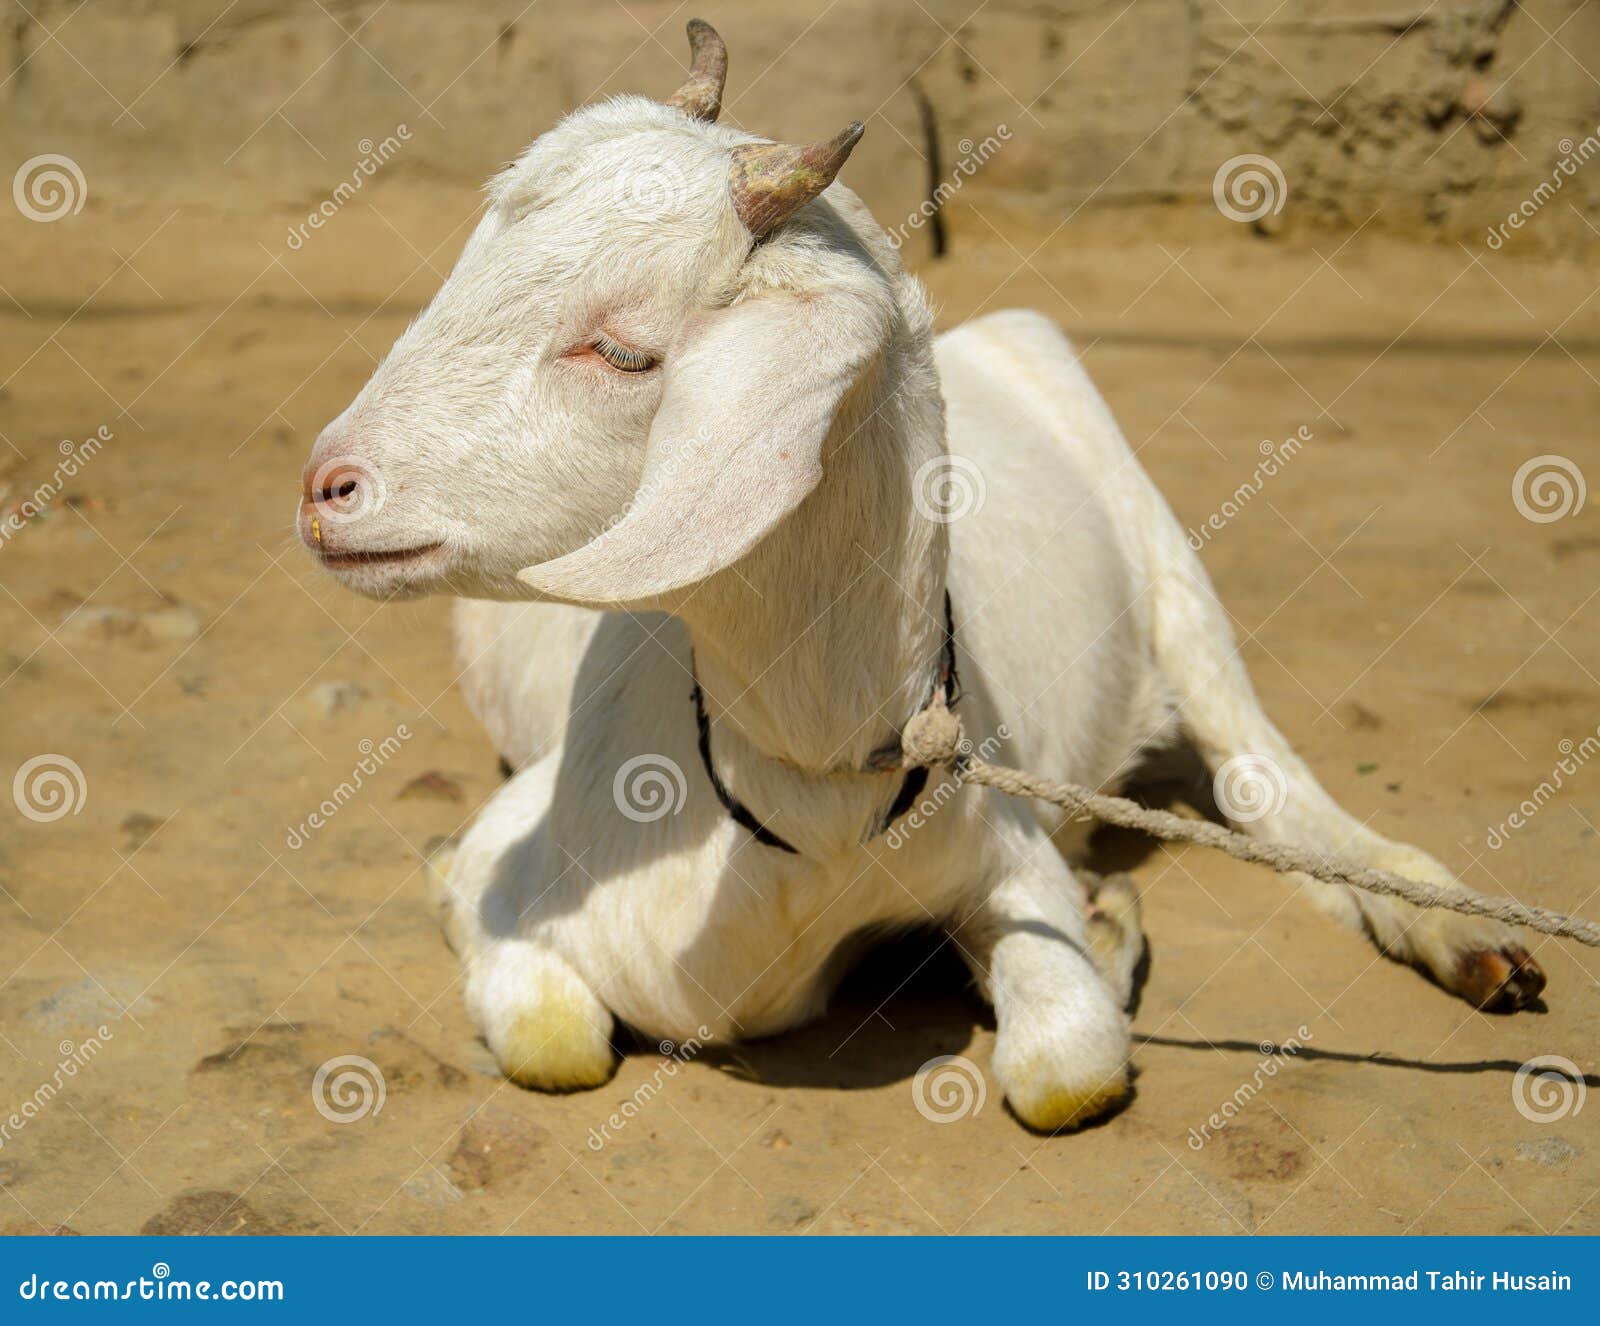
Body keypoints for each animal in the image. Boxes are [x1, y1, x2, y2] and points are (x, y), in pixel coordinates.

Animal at [297, 21, 1545, 1131]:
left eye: (620, 351)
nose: (327, 486)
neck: (804, 803)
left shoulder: (1005, 849)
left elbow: (1067, 1069)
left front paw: (1101, 932)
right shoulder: (507, 863)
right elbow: (554, 1044)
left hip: (1168, 566)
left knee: (1266, 782)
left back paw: (1466, 934)